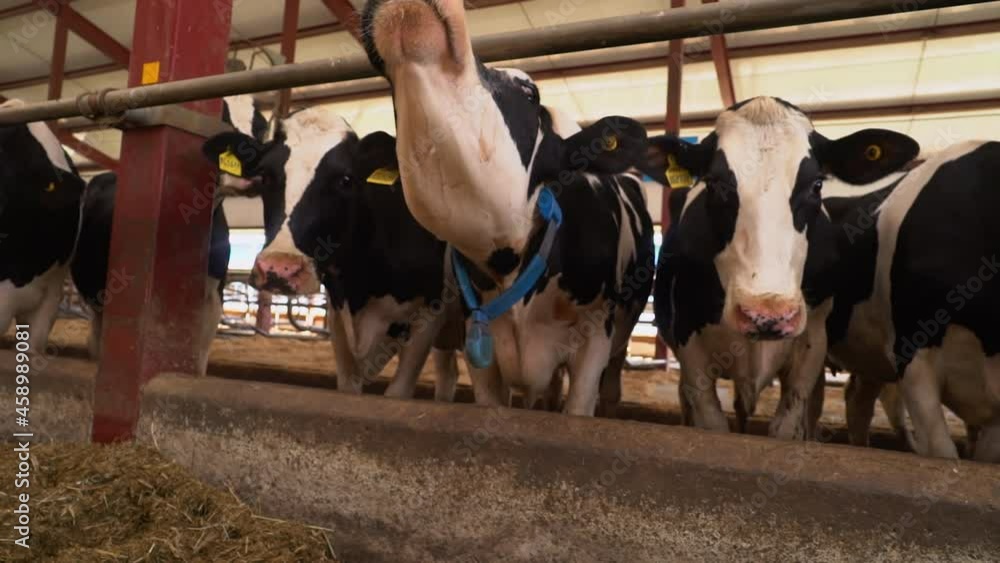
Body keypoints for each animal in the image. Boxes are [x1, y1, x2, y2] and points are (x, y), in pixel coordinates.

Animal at [202, 106, 462, 400]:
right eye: (266, 176)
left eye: (346, 179)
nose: (279, 268)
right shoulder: (339, 318)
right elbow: (348, 388)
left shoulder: (430, 314)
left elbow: (397, 392)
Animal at [363, 0, 655, 416]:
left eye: (529, 91)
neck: (510, 267)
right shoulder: (478, 343)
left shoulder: (596, 338)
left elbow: (579, 406)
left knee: (611, 385)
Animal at [648, 96, 919, 439]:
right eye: (714, 183)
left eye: (816, 184)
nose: (766, 314)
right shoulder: (689, 346)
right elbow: (711, 421)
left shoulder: (812, 345)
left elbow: (786, 426)